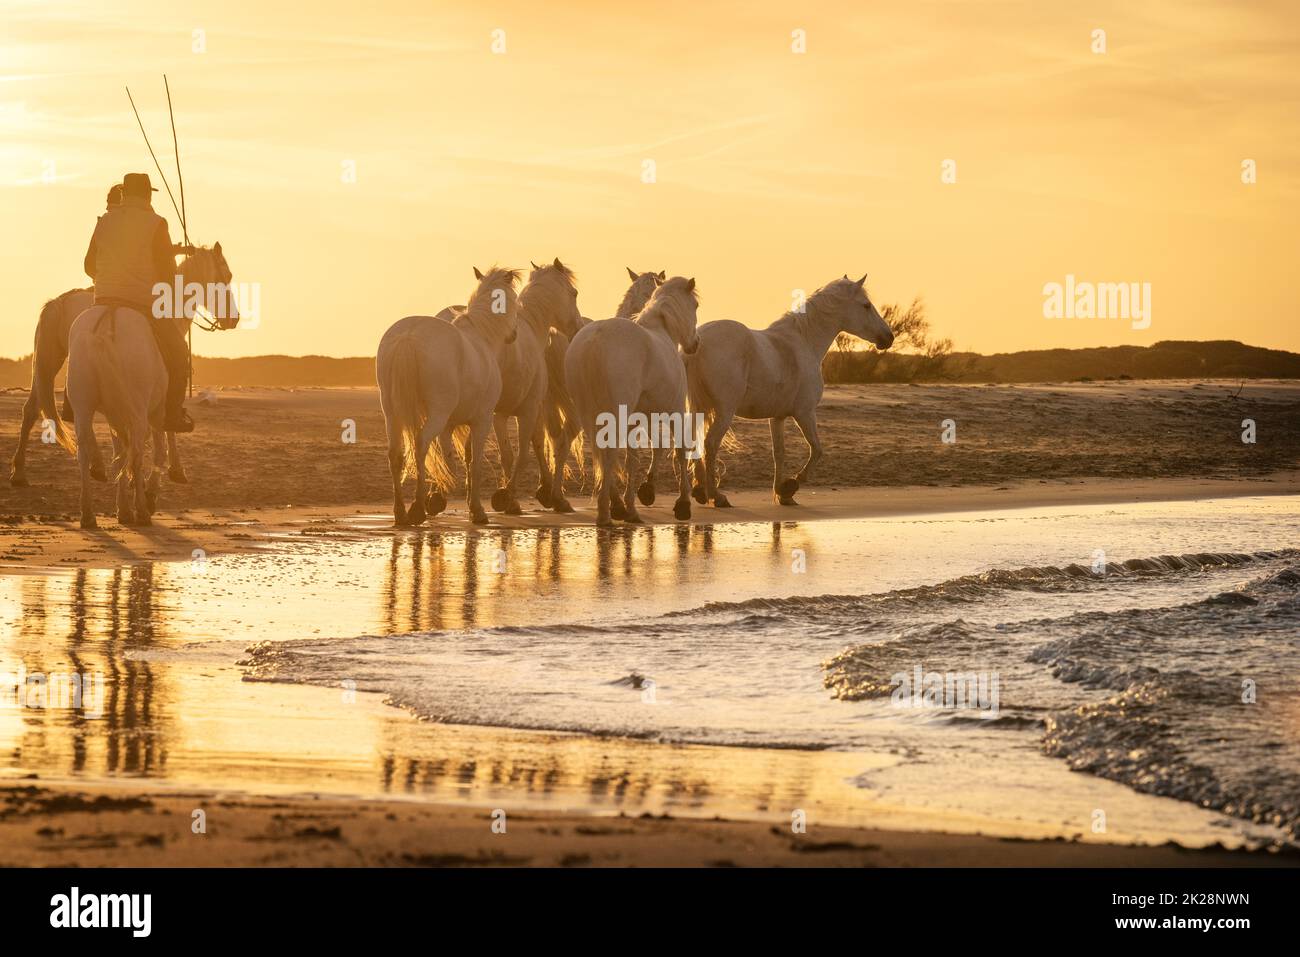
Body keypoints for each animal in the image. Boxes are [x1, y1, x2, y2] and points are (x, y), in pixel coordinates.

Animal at [10, 244, 239, 489]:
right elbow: (165, 425)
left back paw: (23, 472)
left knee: (34, 409)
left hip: (52, 365)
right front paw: (174, 470)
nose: (233, 319)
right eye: (227, 275)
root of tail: (59, 302)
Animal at [378, 266, 520, 527]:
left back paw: (401, 513)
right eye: (515, 299)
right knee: (420, 444)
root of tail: (408, 335)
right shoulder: (482, 420)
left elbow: (451, 458)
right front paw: (477, 510)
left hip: (391, 414)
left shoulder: (450, 425)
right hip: (436, 414)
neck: (481, 338)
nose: (513, 334)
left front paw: (439, 498)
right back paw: (416, 509)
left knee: (396, 454)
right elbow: (474, 462)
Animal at [565, 276, 700, 527]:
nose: (695, 343)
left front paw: (638, 500)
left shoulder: (638, 419)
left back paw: (614, 506)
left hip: (588, 415)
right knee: (608, 455)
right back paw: (605, 513)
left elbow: (636, 457)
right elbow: (678, 450)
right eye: (695, 305)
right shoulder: (674, 411)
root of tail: (595, 339)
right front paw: (683, 504)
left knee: (602, 456)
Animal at [686, 273, 893, 508]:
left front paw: (781, 493)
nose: (889, 337)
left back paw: (700, 491)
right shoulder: (804, 413)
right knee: (710, 444)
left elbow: (779, 453)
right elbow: (817, 449)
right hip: (724, 412)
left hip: (699, 409)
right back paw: (716, 496)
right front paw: (791, 486)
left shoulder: (778, 417)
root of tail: (698, 341)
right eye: (866, 305)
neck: (804, 342)